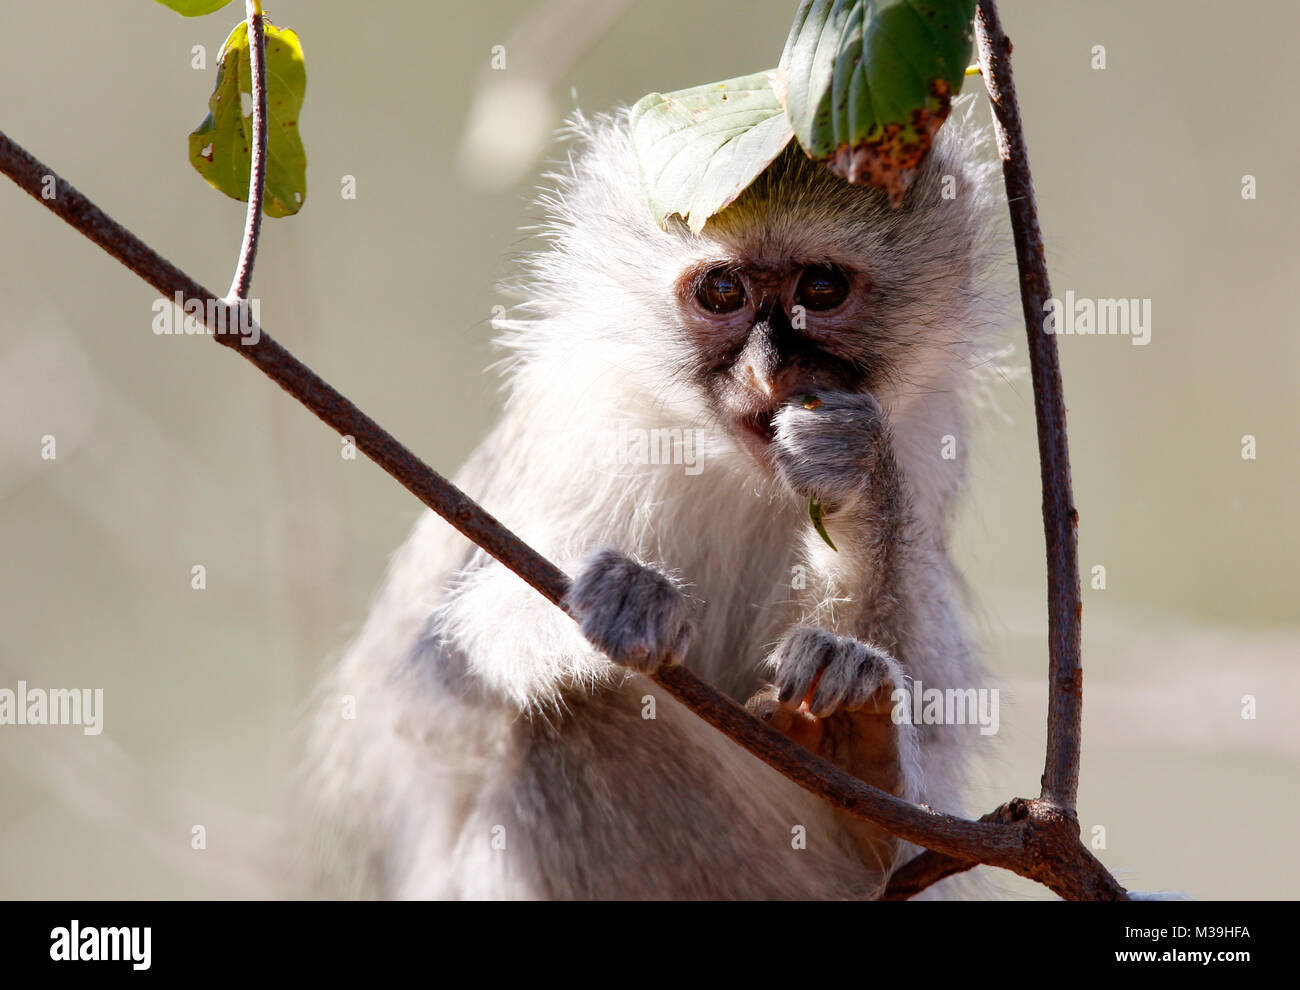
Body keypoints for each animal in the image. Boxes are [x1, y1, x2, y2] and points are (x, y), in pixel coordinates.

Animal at [302, 95, 1007, 900]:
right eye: (722, 292)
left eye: (822, 289)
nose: (770, 373)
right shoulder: (580, 437)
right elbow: (427, 694)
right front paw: (614, 602)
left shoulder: (922, 444)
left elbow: (936, 711)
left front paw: (850, 476)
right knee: (572, 723)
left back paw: (861, 763)